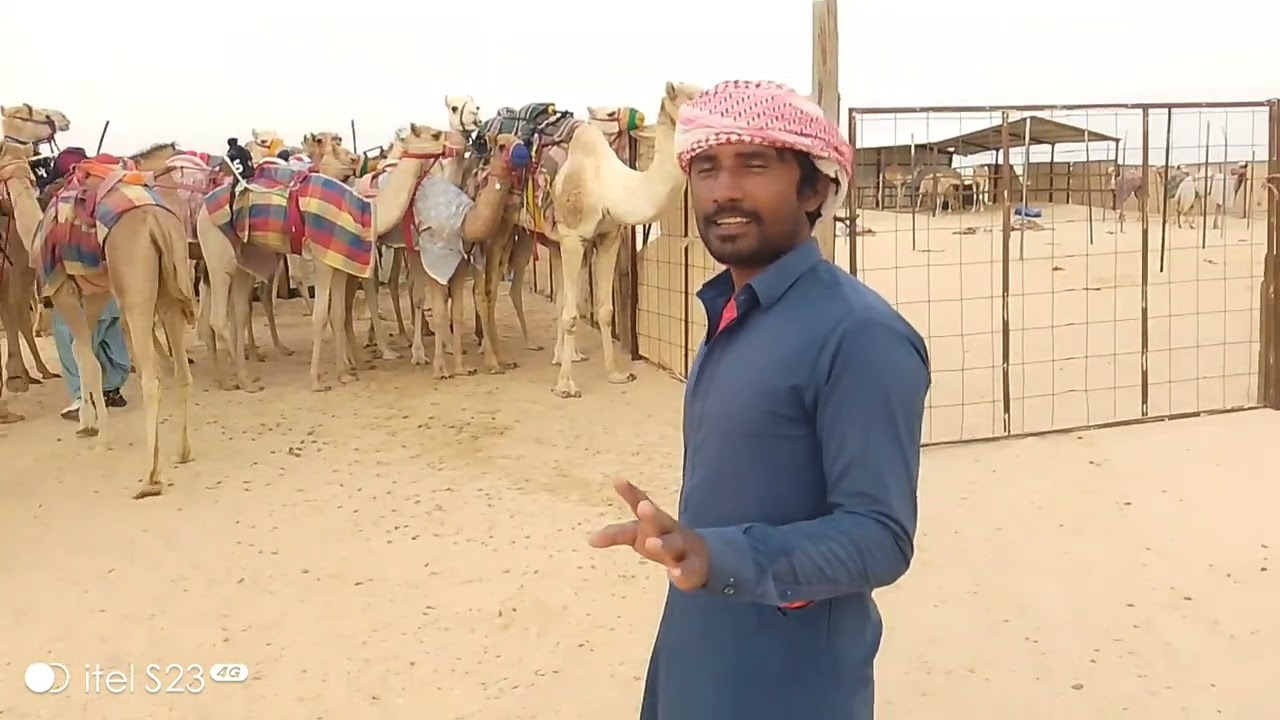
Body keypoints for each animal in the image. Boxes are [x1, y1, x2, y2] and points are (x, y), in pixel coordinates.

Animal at [8, 140, 195, 498]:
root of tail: (155, 220)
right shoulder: (95, 294)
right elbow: (84, 352)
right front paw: (88, 423)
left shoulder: (63, 289)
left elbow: (88, 358)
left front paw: (100, 435)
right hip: (172, 283)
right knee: (181, 370)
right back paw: (182, 453)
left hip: (134, 284)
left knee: (152, 377)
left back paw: (150, 477)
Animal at [196, 125, 446, 393]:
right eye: (433, 134)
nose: (451, 142)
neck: (368, 210)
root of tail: (201, 210)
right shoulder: (323, 261)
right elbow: (320, 317)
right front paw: (316, 380)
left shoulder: (338, 262)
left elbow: (338, 314)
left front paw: (344, 374)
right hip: (217, 256)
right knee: (219, 318)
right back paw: (240, 378)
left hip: (243, 260)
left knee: (238, 314)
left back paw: (233, 378)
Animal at [513, 81, 700, 398]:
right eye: (696, 98)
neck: (609, 185)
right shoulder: (573, 238)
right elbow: (572, 314)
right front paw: (565, 385)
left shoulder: (608, 237)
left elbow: (603, 309)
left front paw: (615, 373)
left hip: (549, 240)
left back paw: (564, 355)